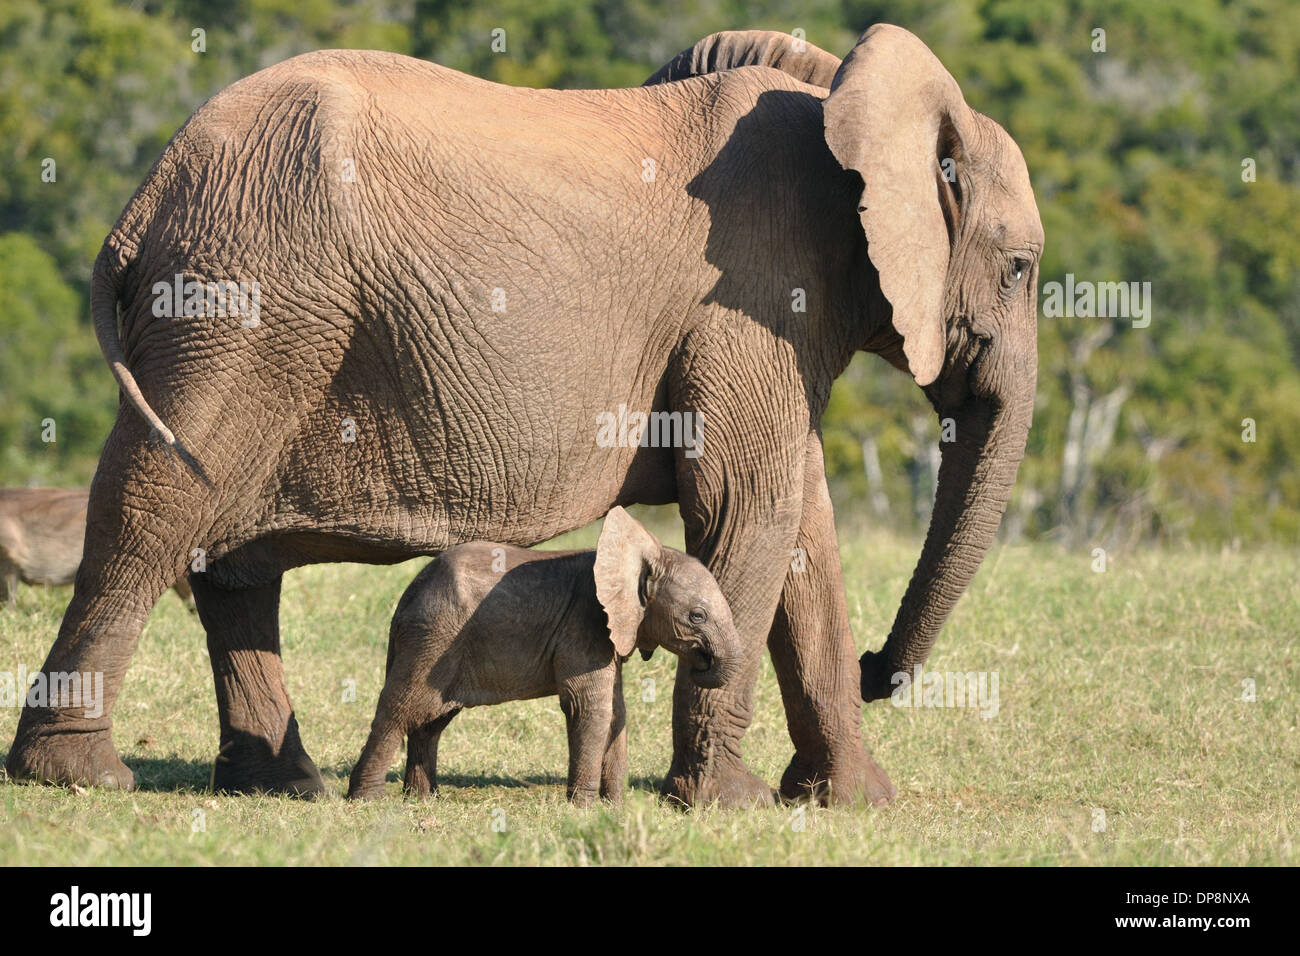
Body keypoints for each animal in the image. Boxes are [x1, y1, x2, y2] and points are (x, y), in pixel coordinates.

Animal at [347, 506, 743, 804]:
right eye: (697, 616)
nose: (702, 662)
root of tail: (408, 594)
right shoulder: (585, 626)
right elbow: (591, 708)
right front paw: (584, 808)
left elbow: (617, 711)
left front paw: (616, 807)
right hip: (432, 637)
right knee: (400, 709)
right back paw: (368, 800)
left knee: (431, 720)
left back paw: (423, 799)